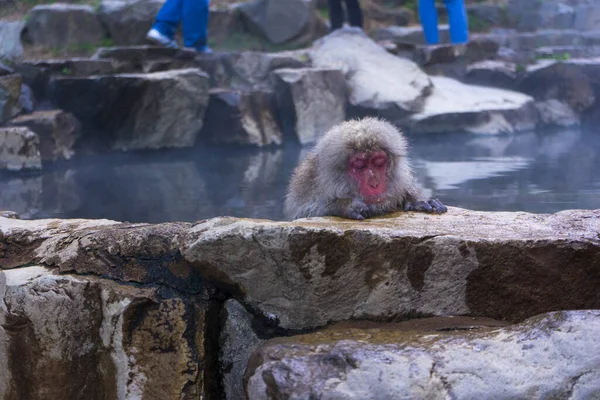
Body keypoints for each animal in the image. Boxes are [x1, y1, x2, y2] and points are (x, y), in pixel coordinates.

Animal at [284, 117, 448, 220]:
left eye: (379, 162)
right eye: (360, 165)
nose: (374, 183)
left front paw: (416, 200)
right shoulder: (306, 184)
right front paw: (345, 205)